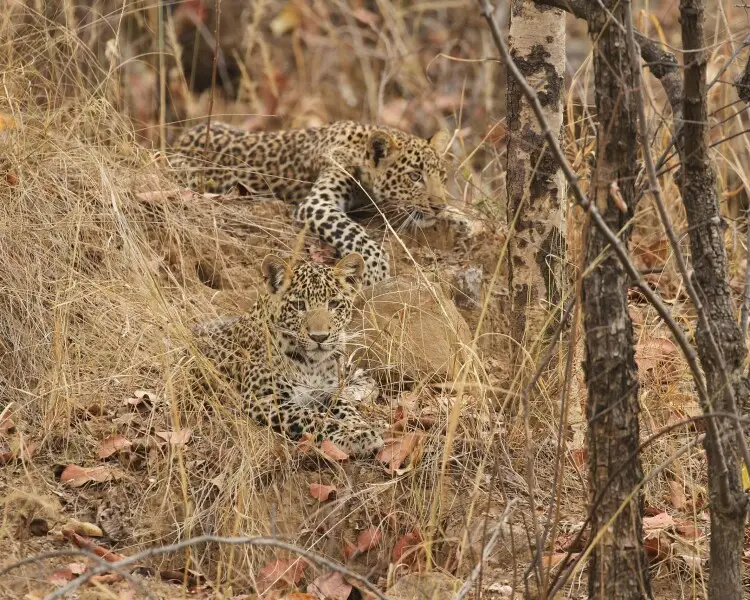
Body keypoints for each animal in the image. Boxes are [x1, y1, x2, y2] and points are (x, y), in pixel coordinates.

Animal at [170, 120, 453, 286]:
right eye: (415, 176)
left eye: (442, 175)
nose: (438, 206)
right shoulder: (316, 202)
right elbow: (352, 231)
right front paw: (377, 269)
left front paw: (454, 215)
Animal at [191, 251, 384, 457]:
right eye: (299, 305)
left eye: (333, 304)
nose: (319, 337)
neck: (312, 366)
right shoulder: (262, 399)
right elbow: (313, 417)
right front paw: (355, 435)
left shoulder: (325, 391)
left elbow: (342, 404)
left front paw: (361, 424)